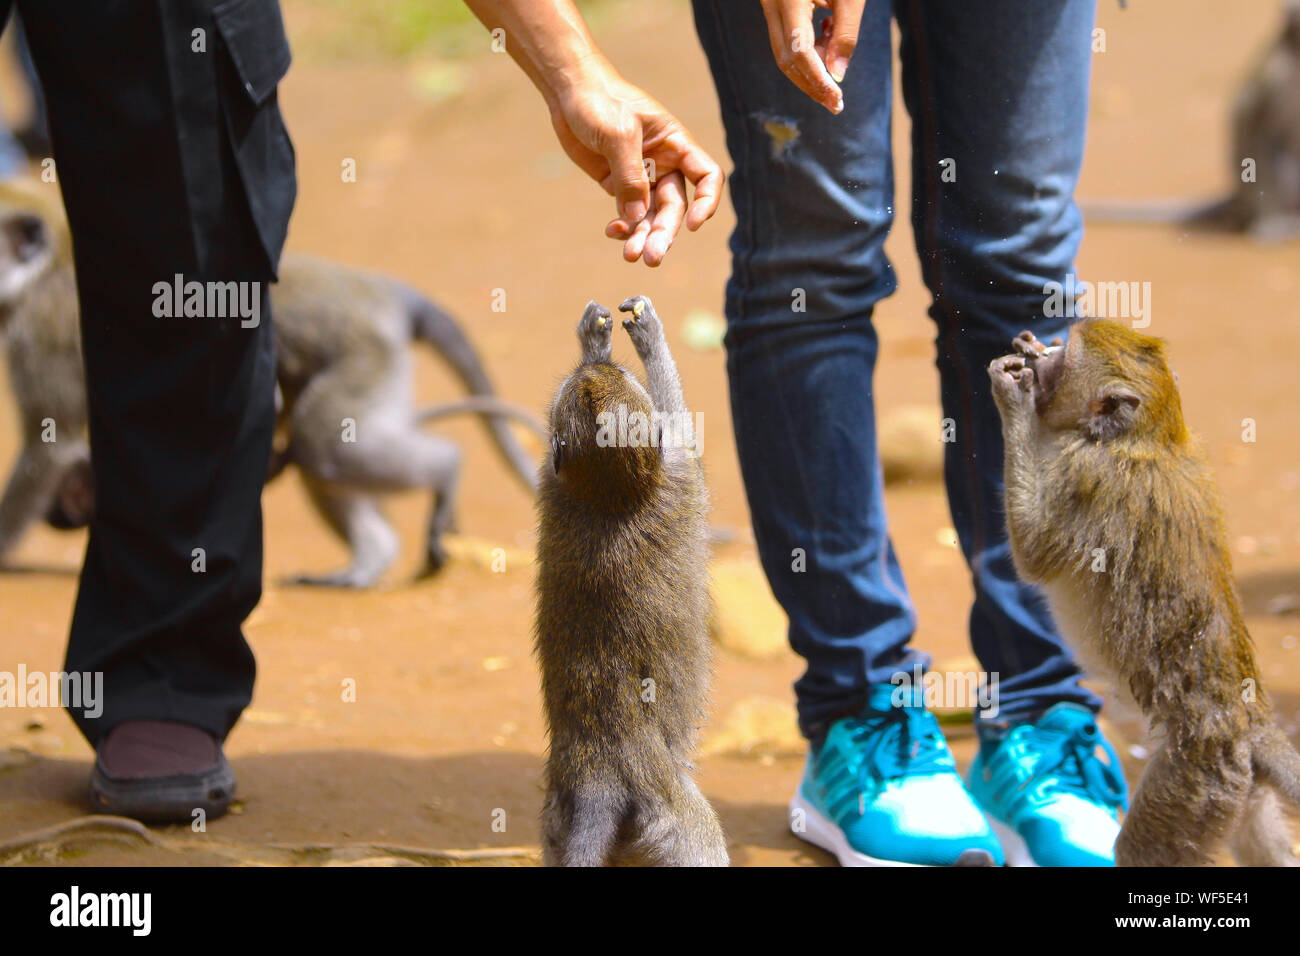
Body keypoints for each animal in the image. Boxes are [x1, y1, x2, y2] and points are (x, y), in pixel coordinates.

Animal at [0, 180, 544, 587]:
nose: (64, 514)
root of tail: (385, 293)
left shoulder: (38, 331)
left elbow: (51, 441)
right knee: (317, 449)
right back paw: (366, 564)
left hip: (364, 355)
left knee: (323, 443)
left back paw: (446, 472)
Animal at [534, 296, 728, 867]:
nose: (604, 366)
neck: (608, 496)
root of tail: (599, 771)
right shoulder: (681, 474)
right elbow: (680, 424)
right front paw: (638, 337)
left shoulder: (552, 481)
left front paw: (598, 343)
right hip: (670, 809)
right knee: (701, 841)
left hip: (558, 815)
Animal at [988, 320, 1300, 866]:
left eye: (1061, 358)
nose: (1030, 344)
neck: (1148, 438)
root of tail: (1249, 722)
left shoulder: (1085, 473)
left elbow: (1033, 557)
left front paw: (1013, 401)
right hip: (1236, 785)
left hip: (1196, 776)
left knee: (1144, 847)